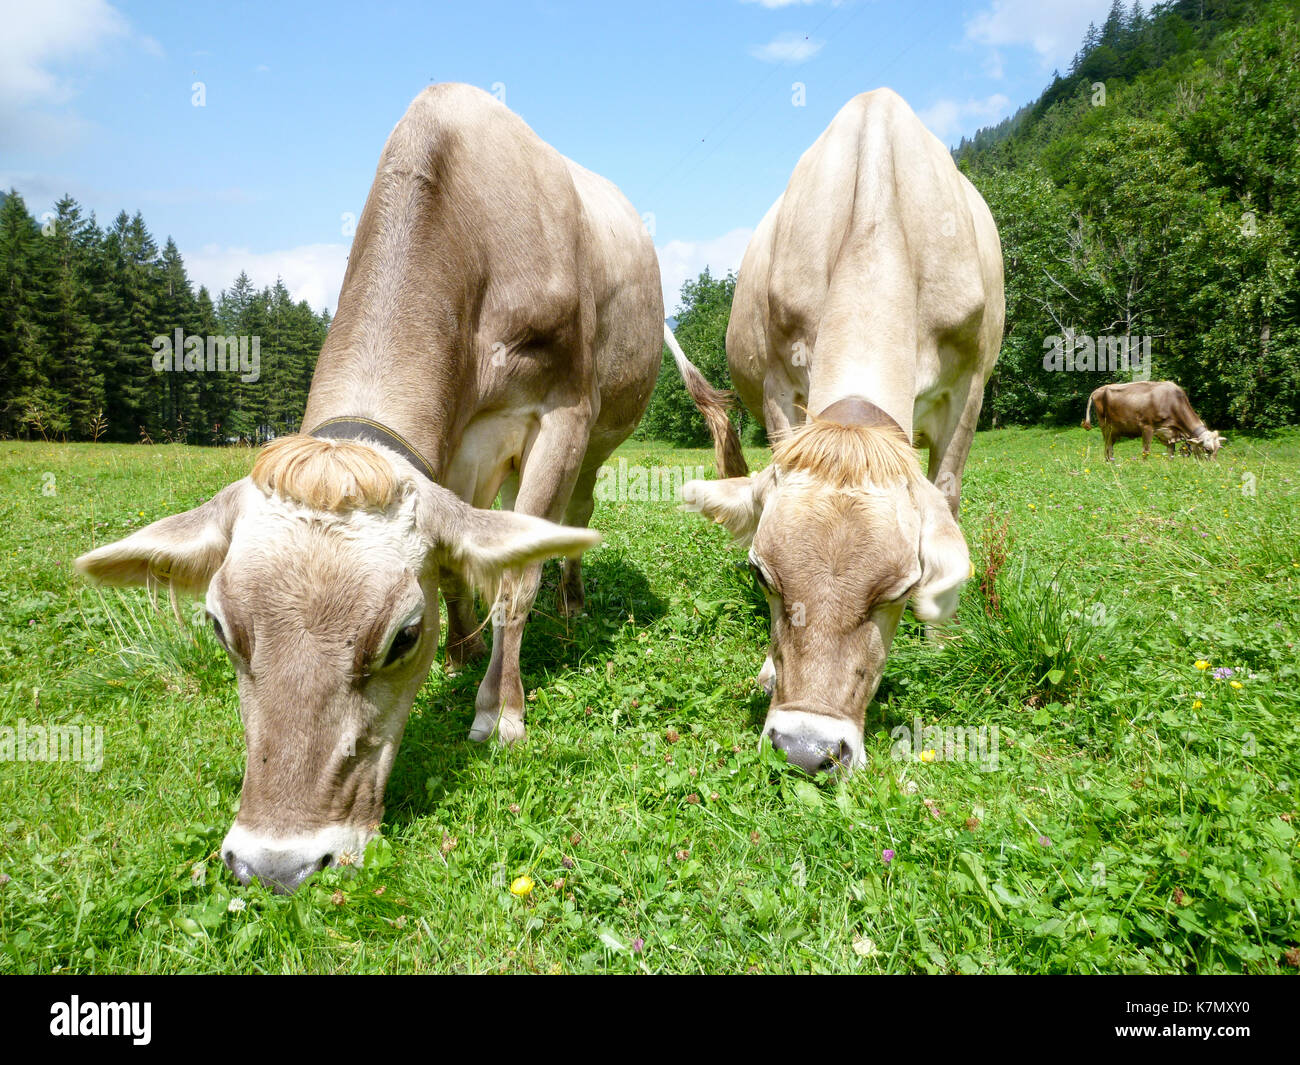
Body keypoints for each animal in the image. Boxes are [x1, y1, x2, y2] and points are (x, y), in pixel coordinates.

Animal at [74, 84, 725, 892]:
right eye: (220, 627)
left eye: (400, 636)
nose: (277, 864)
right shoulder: (447, 451)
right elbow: (457, 563)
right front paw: (461, 651)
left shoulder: (562, 414)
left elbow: (517, 581)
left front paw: (499, 710)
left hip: (601, 436)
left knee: (573, 518)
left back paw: (572, 602)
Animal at [681, 89, 1004, 775]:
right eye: (762, 576)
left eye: (901, 590)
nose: (807, 749)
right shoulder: (780, 389)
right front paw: (768, 667)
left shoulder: (969, 390)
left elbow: (949, 494)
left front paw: (940, 642)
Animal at [1082, 381, 1224, 460]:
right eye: (1207, 450)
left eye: (1218, 450)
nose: (1213, 468)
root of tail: (1098, 390)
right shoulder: (1147, 427)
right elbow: (1146, 451)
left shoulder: (1169, 434)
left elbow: (1171, 453)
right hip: (1106, 426)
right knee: (1108, 446)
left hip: (1115, 430)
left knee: (1109, 446)